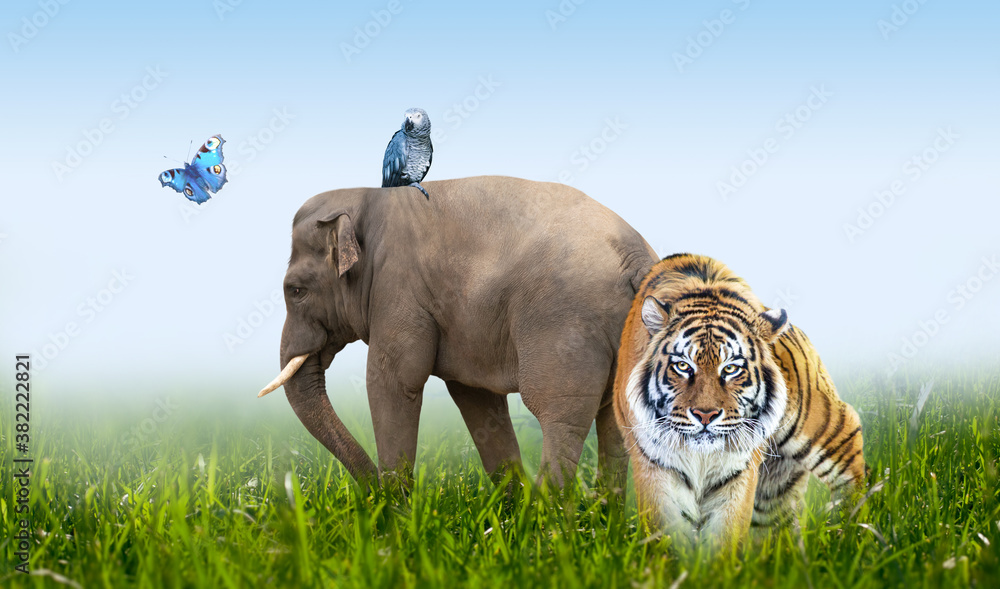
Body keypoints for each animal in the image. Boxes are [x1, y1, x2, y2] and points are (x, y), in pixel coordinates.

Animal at [258, 176, 657, 488]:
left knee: (559, 416)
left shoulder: (398, 289)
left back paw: (551, 520)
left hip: (563, 326)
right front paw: (511, 512)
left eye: (295, 290)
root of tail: (637, 259)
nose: (370, 492)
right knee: (617, 420)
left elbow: (393, 381)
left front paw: (394, 517)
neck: (366, 199)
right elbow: (475, 397)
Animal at [613, 253, 866, 545]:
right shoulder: (655, 468)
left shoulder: (739, 473)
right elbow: (667, 534)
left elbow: (725, 536)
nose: (706, 415)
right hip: (774, 489)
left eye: (731, 368)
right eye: (683, 366)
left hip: (819, 425)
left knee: (851, 451)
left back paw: (850, 534)